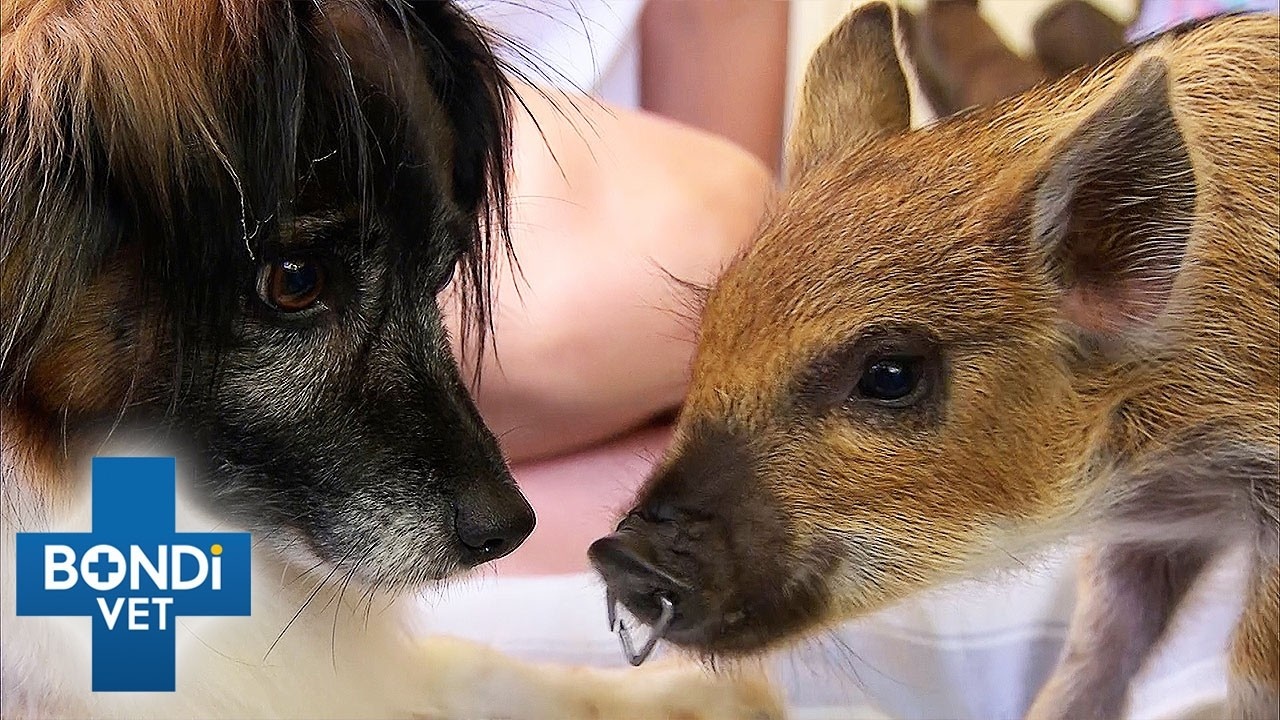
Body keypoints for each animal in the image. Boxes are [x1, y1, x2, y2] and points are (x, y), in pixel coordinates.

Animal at [590, 3, 1279, 719]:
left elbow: (1247, 668)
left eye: (891, 374)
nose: (619, 556)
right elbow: (1099, 646)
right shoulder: (1155, 528)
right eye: (712, 326)